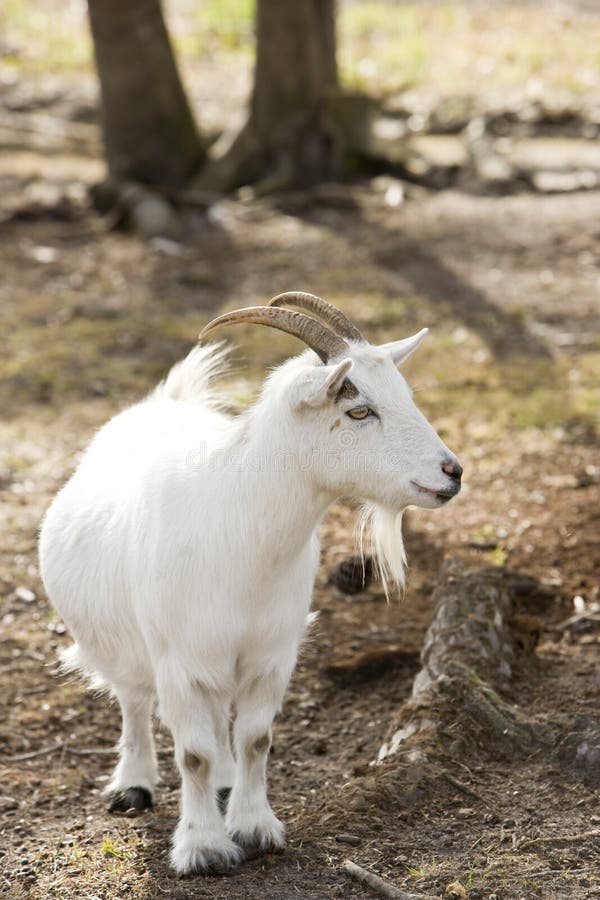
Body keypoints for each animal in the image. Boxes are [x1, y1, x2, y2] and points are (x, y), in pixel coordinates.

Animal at [39, 293, 462, 875]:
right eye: (359, 410)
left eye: (405, 395)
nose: (452, 473)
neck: (243, 535)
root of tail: (166, 402)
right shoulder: (180, 661)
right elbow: (191, 753)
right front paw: (203, 848)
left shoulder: (271, 654)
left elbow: (257, 740)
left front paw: (254, 827)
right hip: (125, 646)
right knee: (133, 703)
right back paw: (134, 785)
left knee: (220, 720)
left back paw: (221, 785)